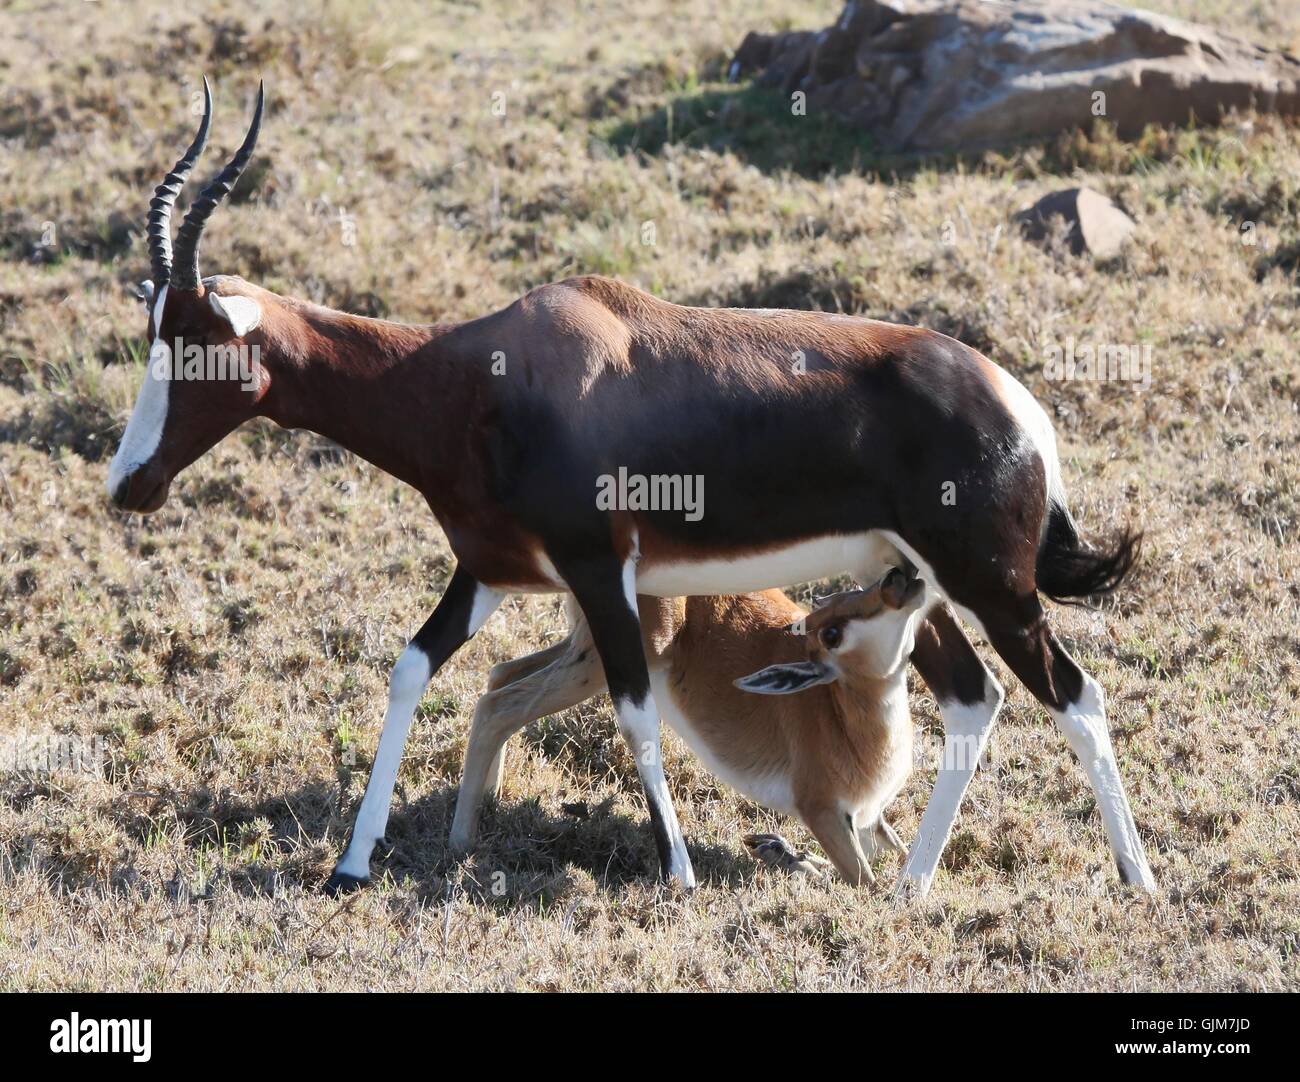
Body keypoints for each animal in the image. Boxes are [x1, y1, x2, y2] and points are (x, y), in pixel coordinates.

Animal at [450, 568, 929, 885]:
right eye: (831, 633)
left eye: (856, 591)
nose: (898, 579)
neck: (843, 717)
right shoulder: (824, 813)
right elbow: (865, 883)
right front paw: (780, 853)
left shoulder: (870, 820)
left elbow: (903, 857)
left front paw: (777, 848)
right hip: (600, 667)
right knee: (498, 706)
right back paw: (462, 840)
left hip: (580, 654)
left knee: (500, 675)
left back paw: (489, 802)